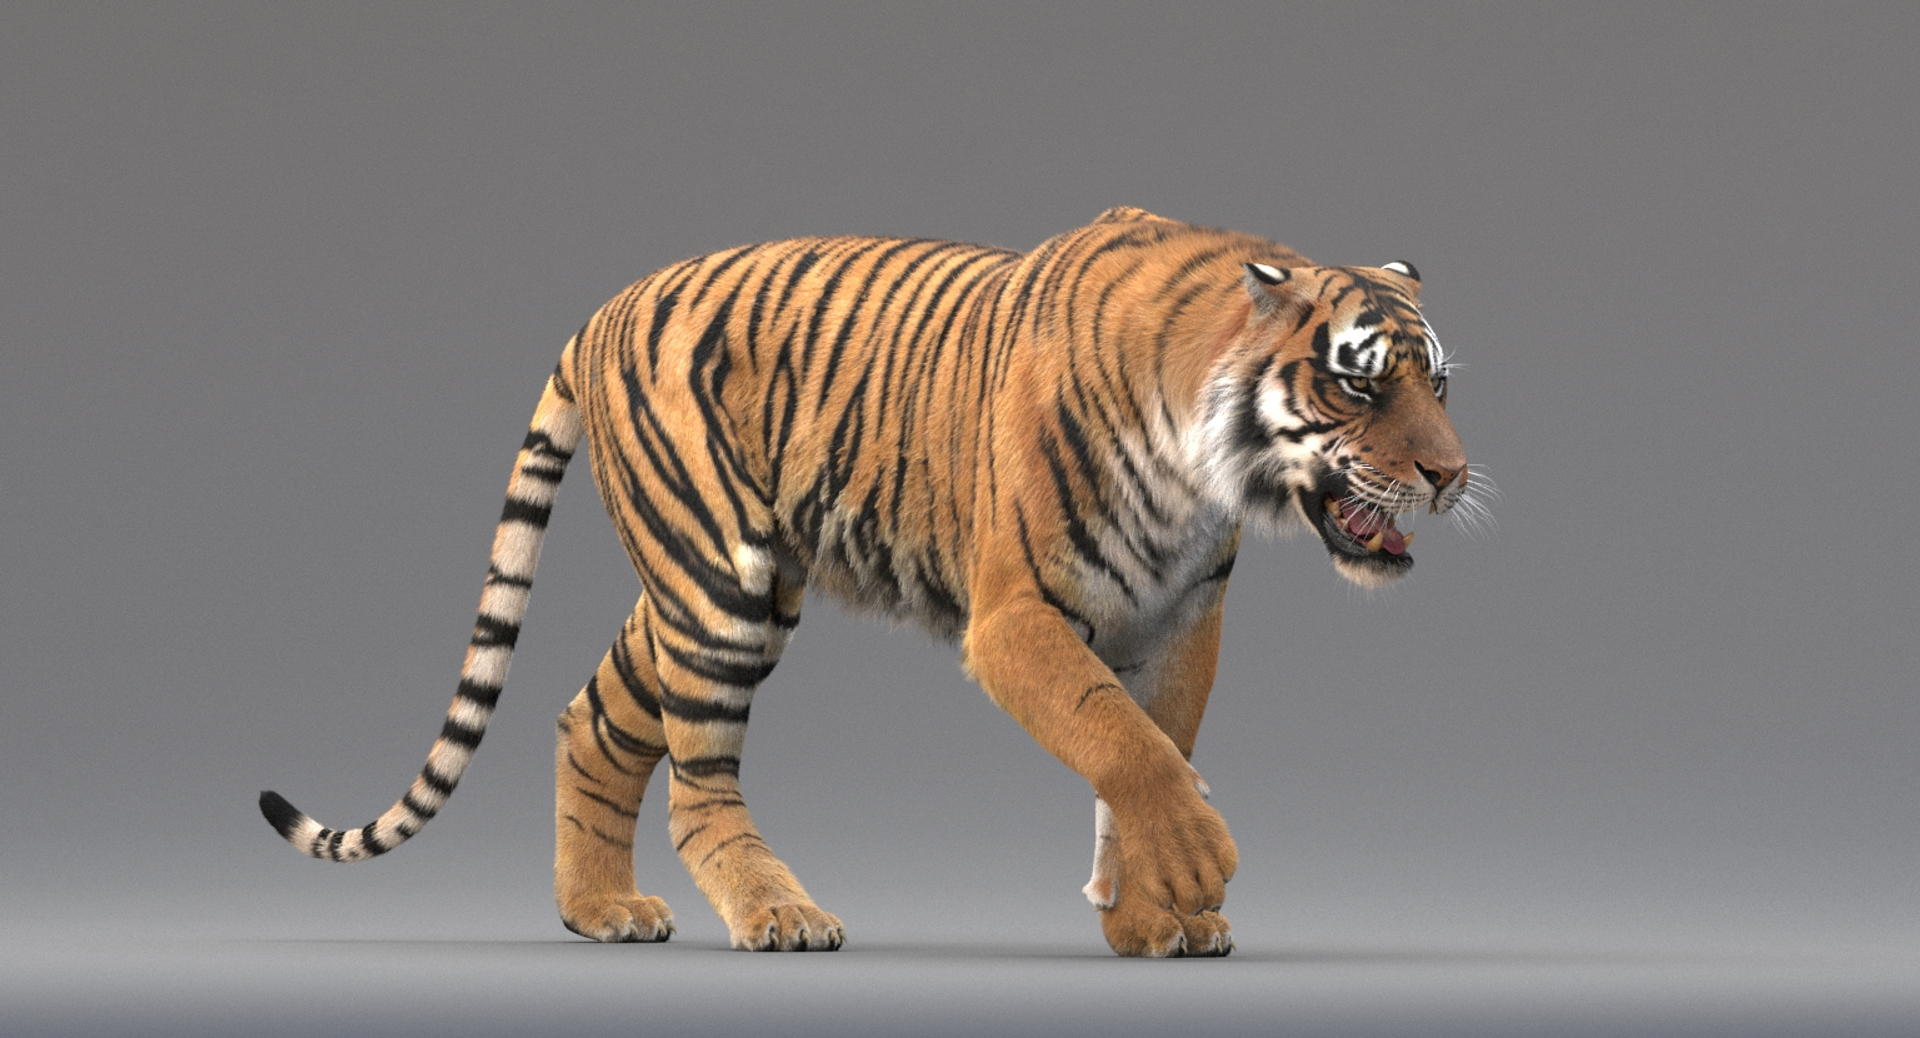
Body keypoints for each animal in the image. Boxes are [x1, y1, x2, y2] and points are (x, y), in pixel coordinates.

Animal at [259, 206, 1474, 957]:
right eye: (1362, 386)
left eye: (1442, 385)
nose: (1452, 474)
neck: (1200, 472)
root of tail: (603, 310)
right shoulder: (1016, 613)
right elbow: (1119, 739)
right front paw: (1192, 866)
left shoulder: (1183, 619)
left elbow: (1150, 747)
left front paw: (1155, 918)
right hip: (720, 584)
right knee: (698, 781)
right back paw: (777, 915)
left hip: (715, 587)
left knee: (593, 717)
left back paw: (599, 909)